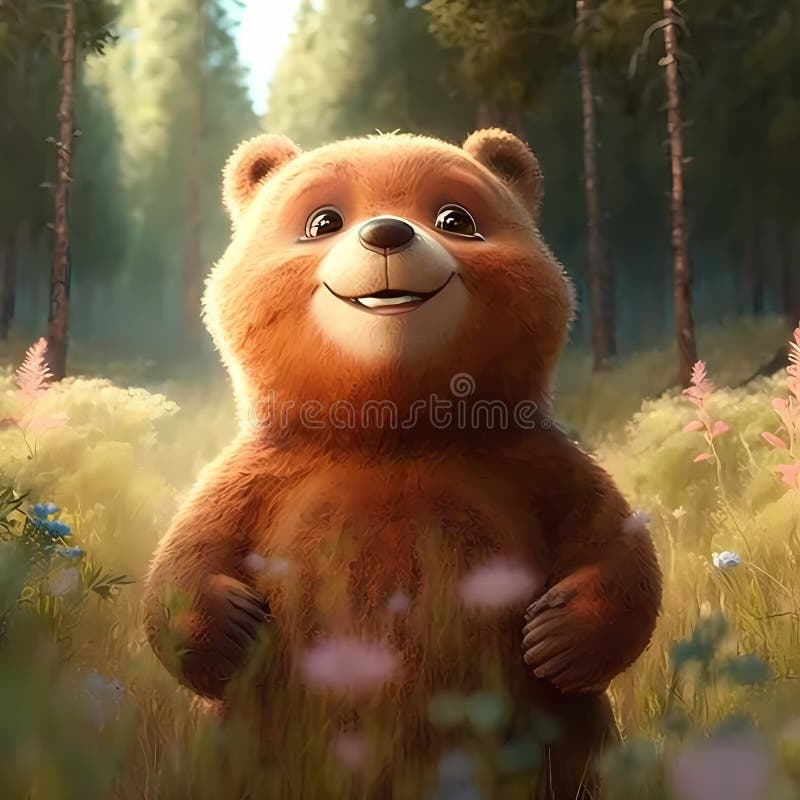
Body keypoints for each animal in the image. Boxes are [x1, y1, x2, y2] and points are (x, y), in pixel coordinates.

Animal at [144, 129, 662, 800]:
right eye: (324, 220)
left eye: (455, 218)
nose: (387, 232)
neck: (391, 431)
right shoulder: (264, 474)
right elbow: (186, 557)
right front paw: (232, 627)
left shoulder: (530, 459)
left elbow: (613, 543)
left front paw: (556, 636)